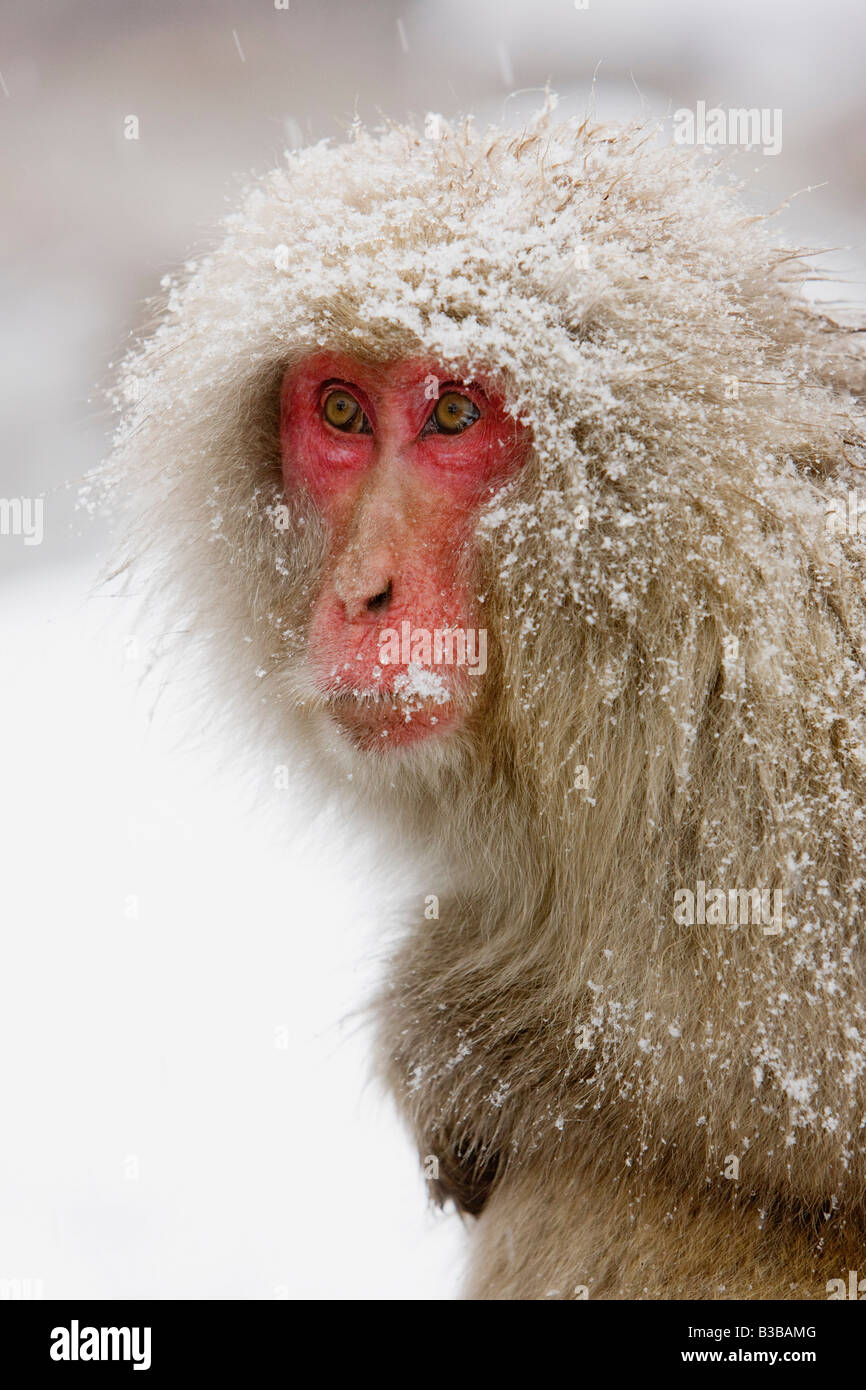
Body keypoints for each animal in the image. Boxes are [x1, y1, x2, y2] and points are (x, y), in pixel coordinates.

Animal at [107, 105, 866, 1299]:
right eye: (340, 411)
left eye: (454, 415)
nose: (362, 592)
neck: (670, 601)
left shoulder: (790, 750)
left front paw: (454, 1034)